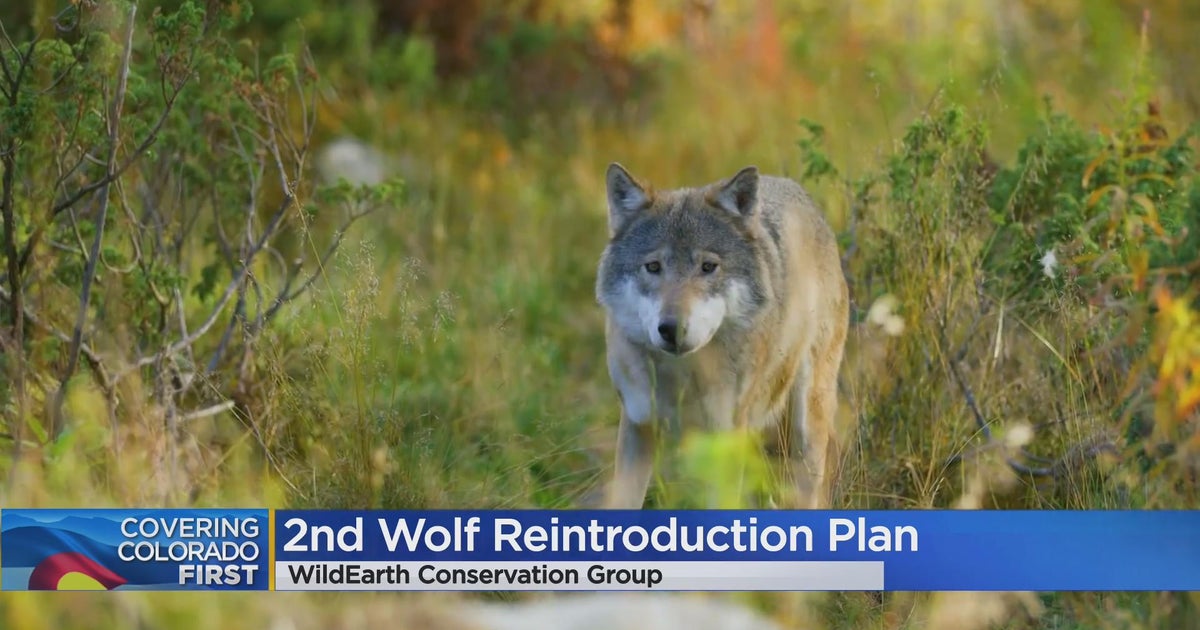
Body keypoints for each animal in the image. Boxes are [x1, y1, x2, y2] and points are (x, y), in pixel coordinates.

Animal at [595, 163, 849, 510]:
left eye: (708, 267)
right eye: (653, 266)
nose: (672, 328)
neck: (682, 378)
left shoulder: (725, 441)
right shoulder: (637, 425)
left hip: (805, 424)